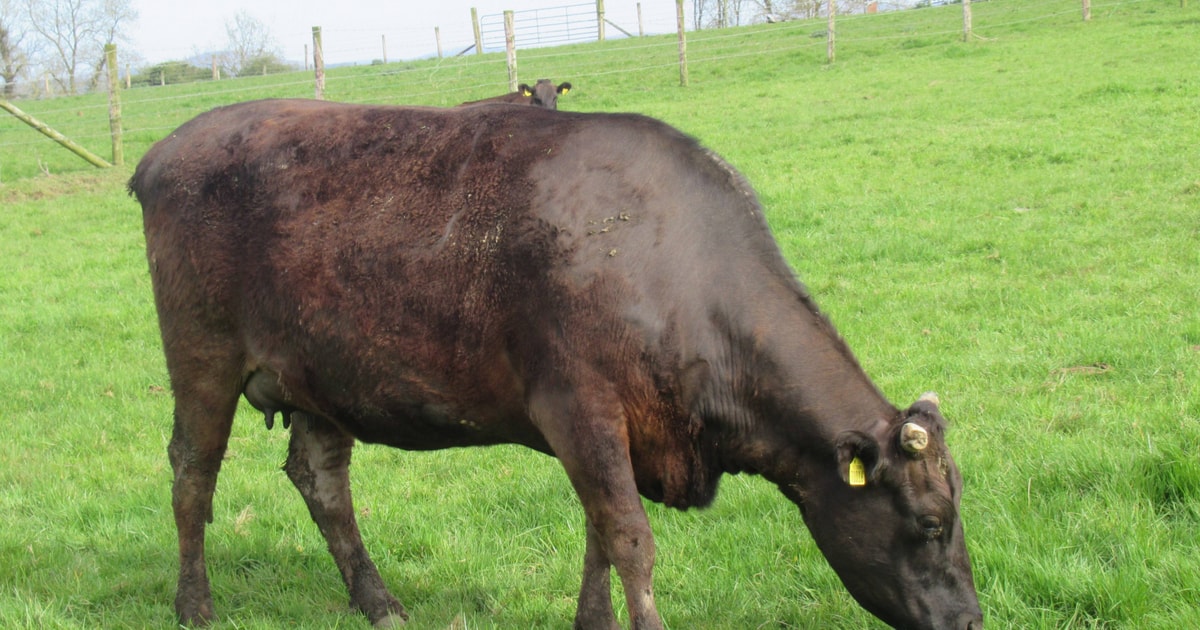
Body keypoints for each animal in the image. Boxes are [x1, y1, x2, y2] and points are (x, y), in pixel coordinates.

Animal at [129, 98, 983, 630]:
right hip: (202, 355)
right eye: (931, 523)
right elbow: (630, 538)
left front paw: (589, 619)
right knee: (192, 473)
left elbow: (600, 534)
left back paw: (379, 602)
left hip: (320, 378)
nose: (971, 619)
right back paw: (194, 604)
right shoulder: (579, 407)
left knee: (323, 484)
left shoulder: (611, 432)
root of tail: (167, 148)